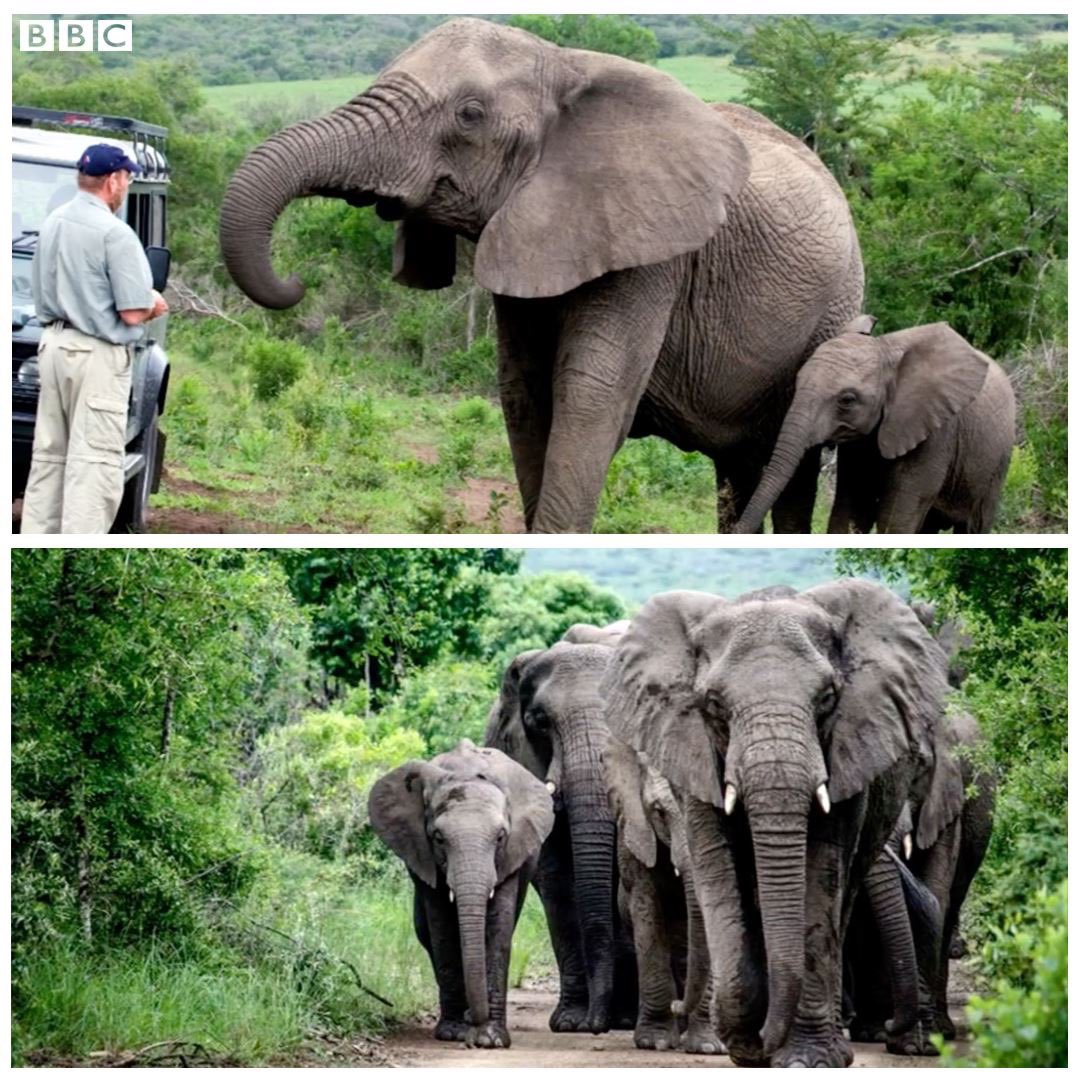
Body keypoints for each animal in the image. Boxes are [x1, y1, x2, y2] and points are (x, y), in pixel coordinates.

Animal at [219, 17, 864, 533]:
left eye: (470, 114)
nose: (295, 283)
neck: (565, 63)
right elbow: (524, 393)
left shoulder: (653, 252)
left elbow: (590, 396)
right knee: (738, 470)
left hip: (835, 310)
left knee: (794, 469)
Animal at [367, 739, 554, 1048]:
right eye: (438, 838)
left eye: (500, 837)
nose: (472, 1030)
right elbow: (442, 929)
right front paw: (454, 1032)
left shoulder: (511, 856)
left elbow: (498, 930)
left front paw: (490, 1039)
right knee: (425, 932)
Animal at [603, 733, 721, 1054]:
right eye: (658, 811)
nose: (676, 1004)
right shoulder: (633, 837)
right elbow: (647, 913)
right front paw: (654, 1041)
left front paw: (708, 1047)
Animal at [736, 320, 1017, 534]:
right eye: (796, 382)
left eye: (847, 400)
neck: (885, 349)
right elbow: (852, 509)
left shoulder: (934, 434)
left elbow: (896, 518)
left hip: (996, 464)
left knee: (974, 525)